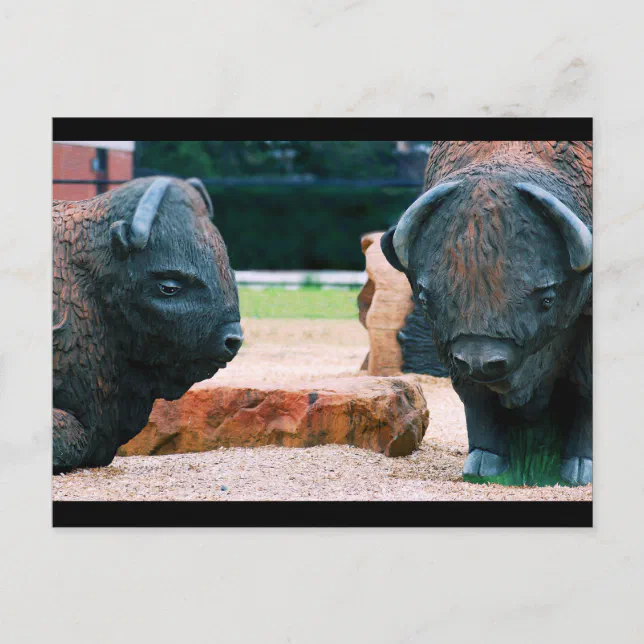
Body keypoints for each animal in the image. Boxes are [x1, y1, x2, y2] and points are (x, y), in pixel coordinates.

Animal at [381, 141, 592, 485]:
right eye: (425, 298)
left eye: (547, 299)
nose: (481, 361)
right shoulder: (449, 349)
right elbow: (474, 396)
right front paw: (482, 463)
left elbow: (586, 390)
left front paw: (579, 467)